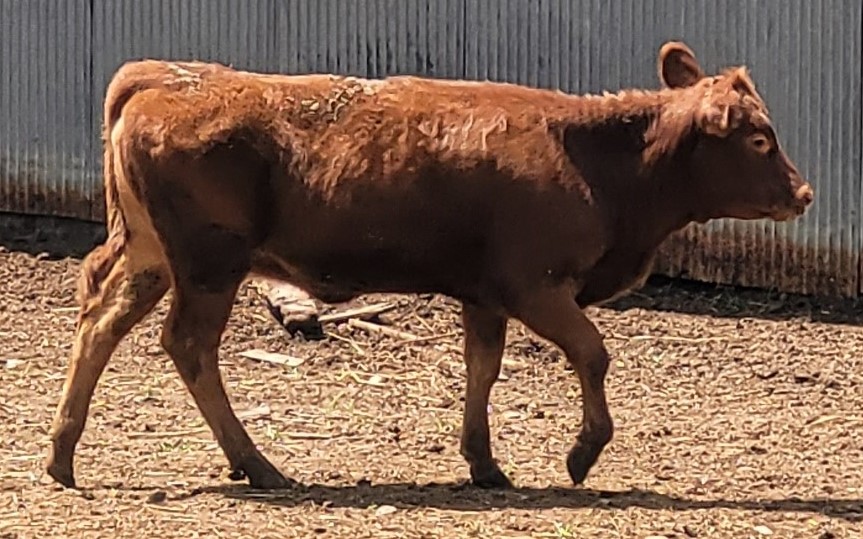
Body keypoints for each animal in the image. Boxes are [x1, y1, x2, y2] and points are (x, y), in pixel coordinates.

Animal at [46, 41, 813, 491]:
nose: (803, 193)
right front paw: (582, 453)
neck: (591, 158)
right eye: (758, 137)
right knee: (189, 346)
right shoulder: (534, 286)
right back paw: (258, 464)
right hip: (209, 264)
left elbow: (483, 369)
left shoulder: (484, 294)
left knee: (100, 322)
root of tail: (164, 77)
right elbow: (592, 355)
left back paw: (63, 453)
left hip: (149, 256)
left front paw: (484, 460)